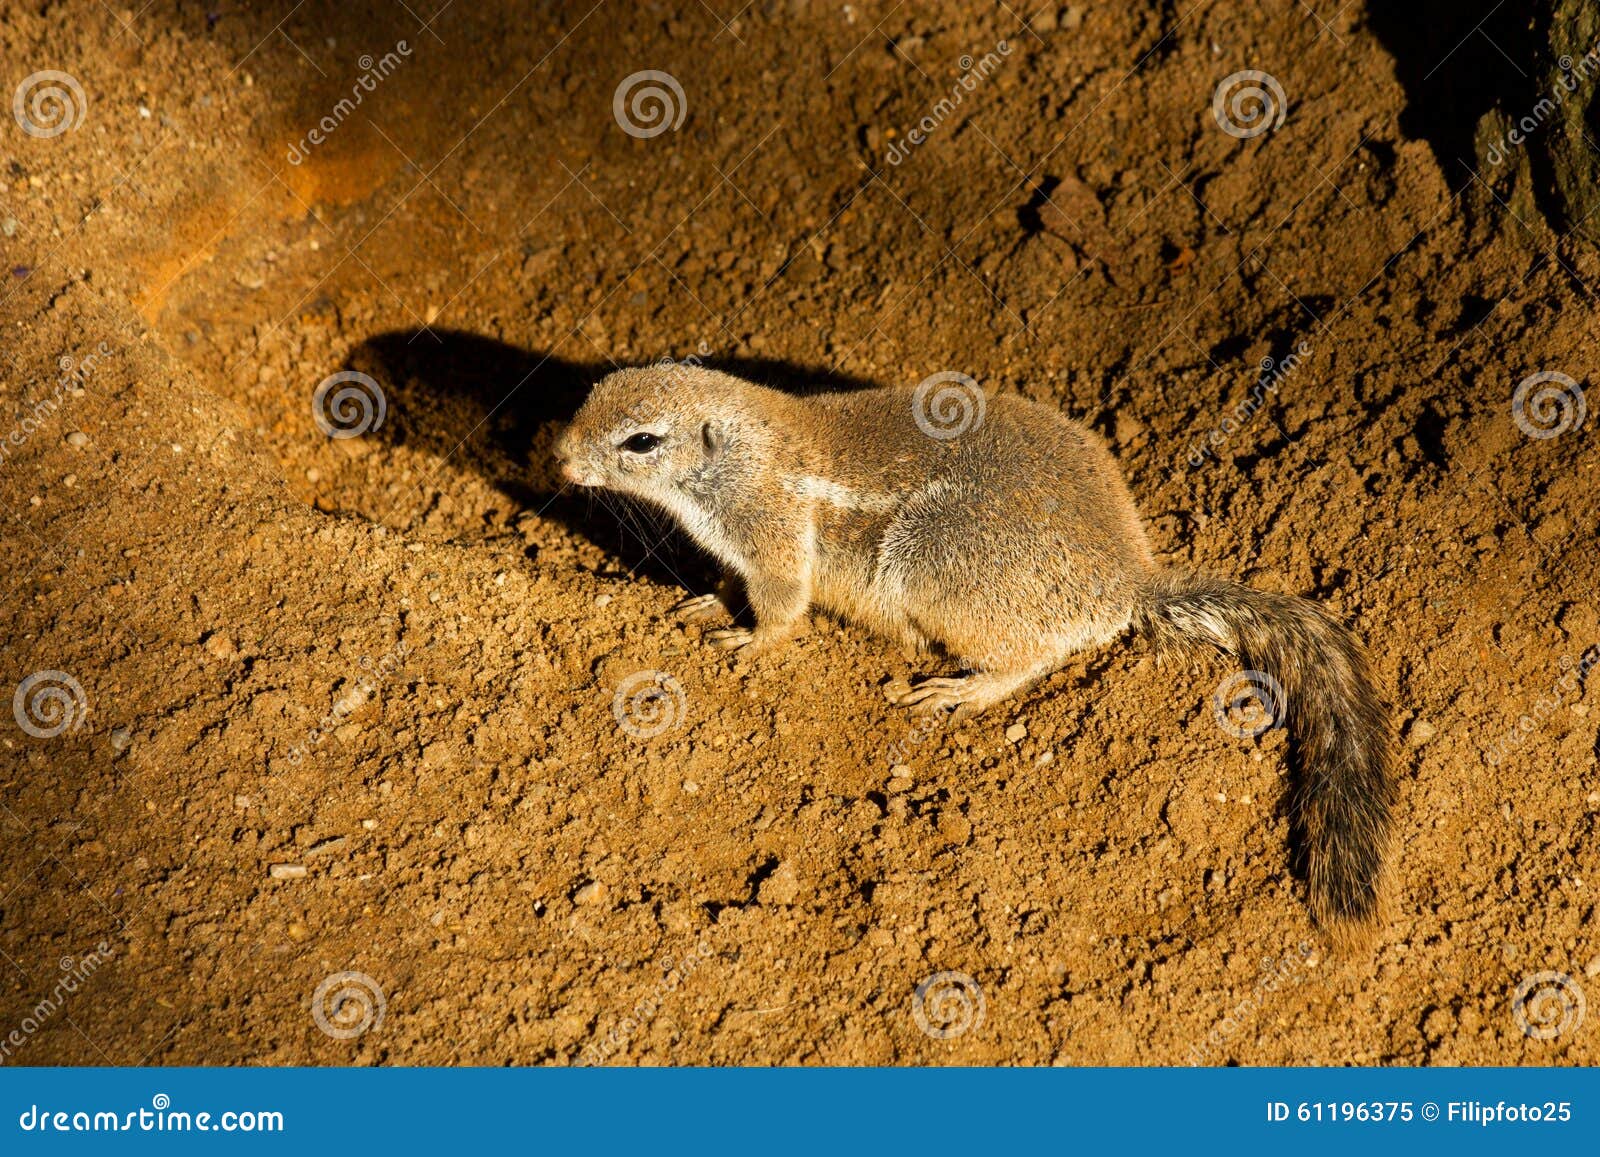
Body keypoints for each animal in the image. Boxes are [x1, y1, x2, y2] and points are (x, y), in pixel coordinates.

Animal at [554, 364, 1396, 937]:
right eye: (588, 397)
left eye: (641, 441)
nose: (559, 459)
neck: (742, 454)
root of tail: (1129, 574)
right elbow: (732, 582)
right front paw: (707, 599)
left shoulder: (772, 537)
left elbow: (781, 608)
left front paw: (745, 635)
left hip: (932, 560)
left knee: (1029, 658)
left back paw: (961, 688)